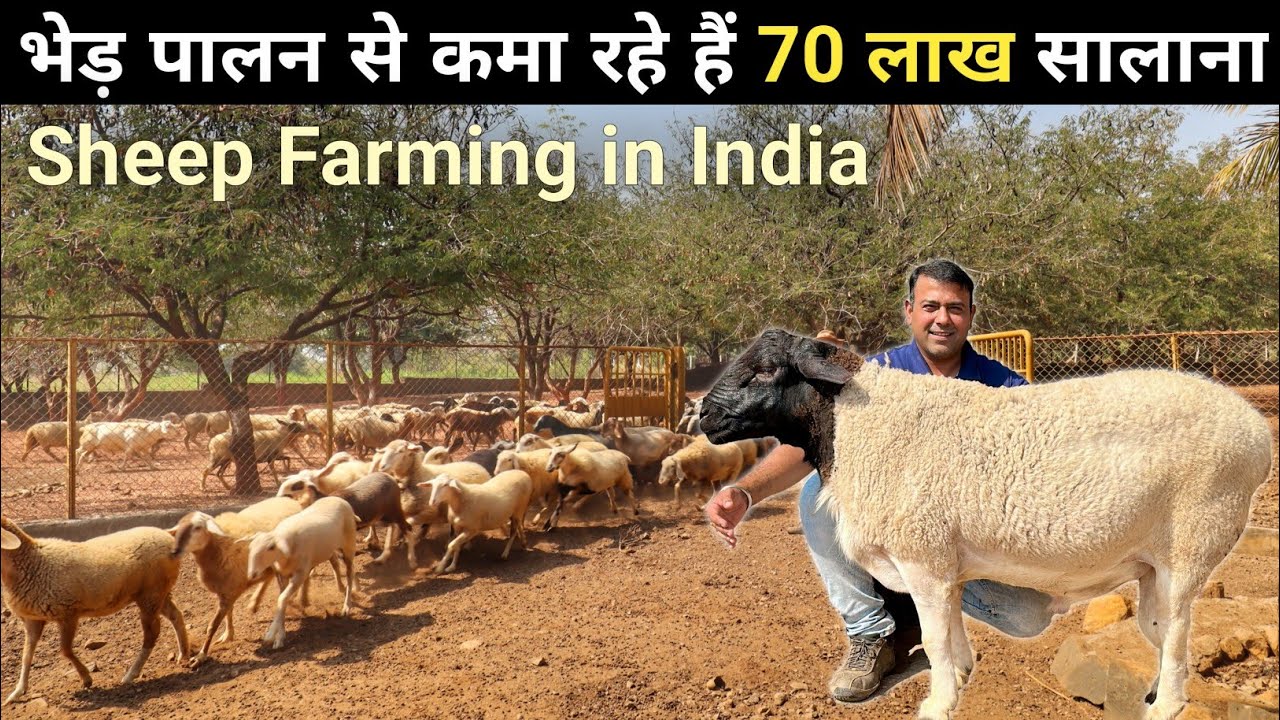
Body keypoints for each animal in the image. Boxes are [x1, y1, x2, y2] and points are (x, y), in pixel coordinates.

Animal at [0, 516, 190, 705]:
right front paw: (16, 693)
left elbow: (65, 650)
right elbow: (26, 656)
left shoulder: (68, 613)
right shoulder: (32, 619)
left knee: (152, 634)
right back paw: (184, 654)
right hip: (158, 594)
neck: (34, 562)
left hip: (151, 594)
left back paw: (131, 674)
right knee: (176, 615)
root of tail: (168, 535)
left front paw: (87, 679)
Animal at [168, 497, 303, 667]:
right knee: (269, 579)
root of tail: (289, 500)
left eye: (198, 527)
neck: (218, 547)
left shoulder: (228, 591)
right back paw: (255, 603)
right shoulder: (225, 591)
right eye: (179, 526)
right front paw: (228, 635)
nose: (175, 551)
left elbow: (212, 626)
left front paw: (201, 656)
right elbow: (229, 613)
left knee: (286, 592)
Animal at [245, 496, 358, 650]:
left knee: (350, 572)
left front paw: (272, 635)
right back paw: (341, 588)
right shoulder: (283, 575)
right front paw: (278, 636)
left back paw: (347, 605)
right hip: (328, 549)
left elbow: (282, 599)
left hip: (348, 546)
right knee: (335, 562)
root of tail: (338, 498)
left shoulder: (300, 574)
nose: (251, 574)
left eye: (271, 547)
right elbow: (282, 600)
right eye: (250, 548)